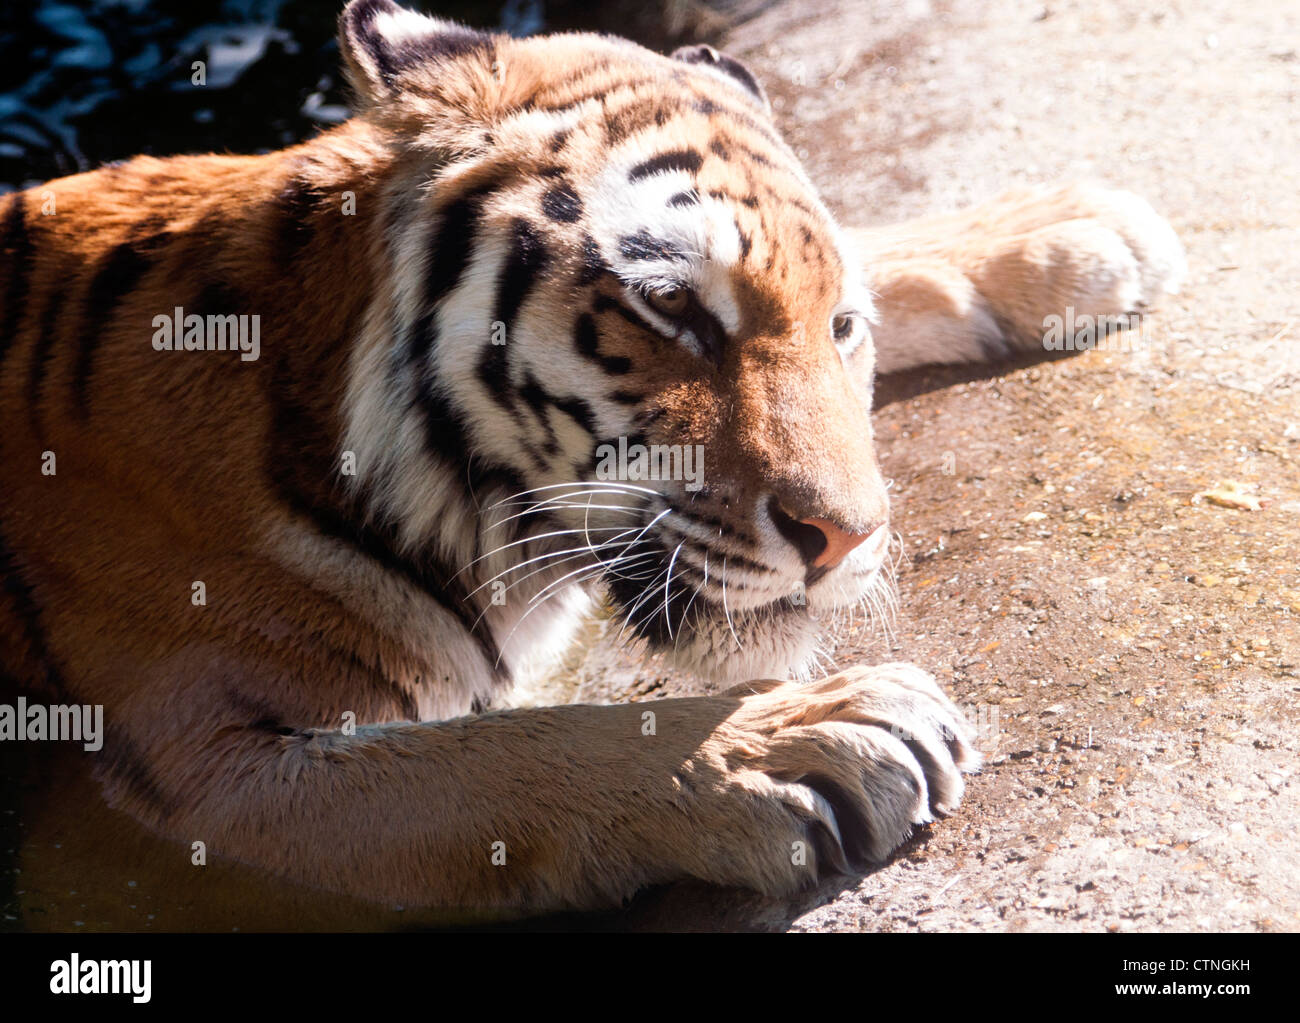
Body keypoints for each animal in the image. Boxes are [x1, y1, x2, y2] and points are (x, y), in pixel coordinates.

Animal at [0, 0, 1184, 917]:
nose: (847, 538)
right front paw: (799, 738)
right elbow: (505, 756)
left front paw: (1074, 231)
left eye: (839, 325)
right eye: (670, 308)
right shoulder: (204, 768)